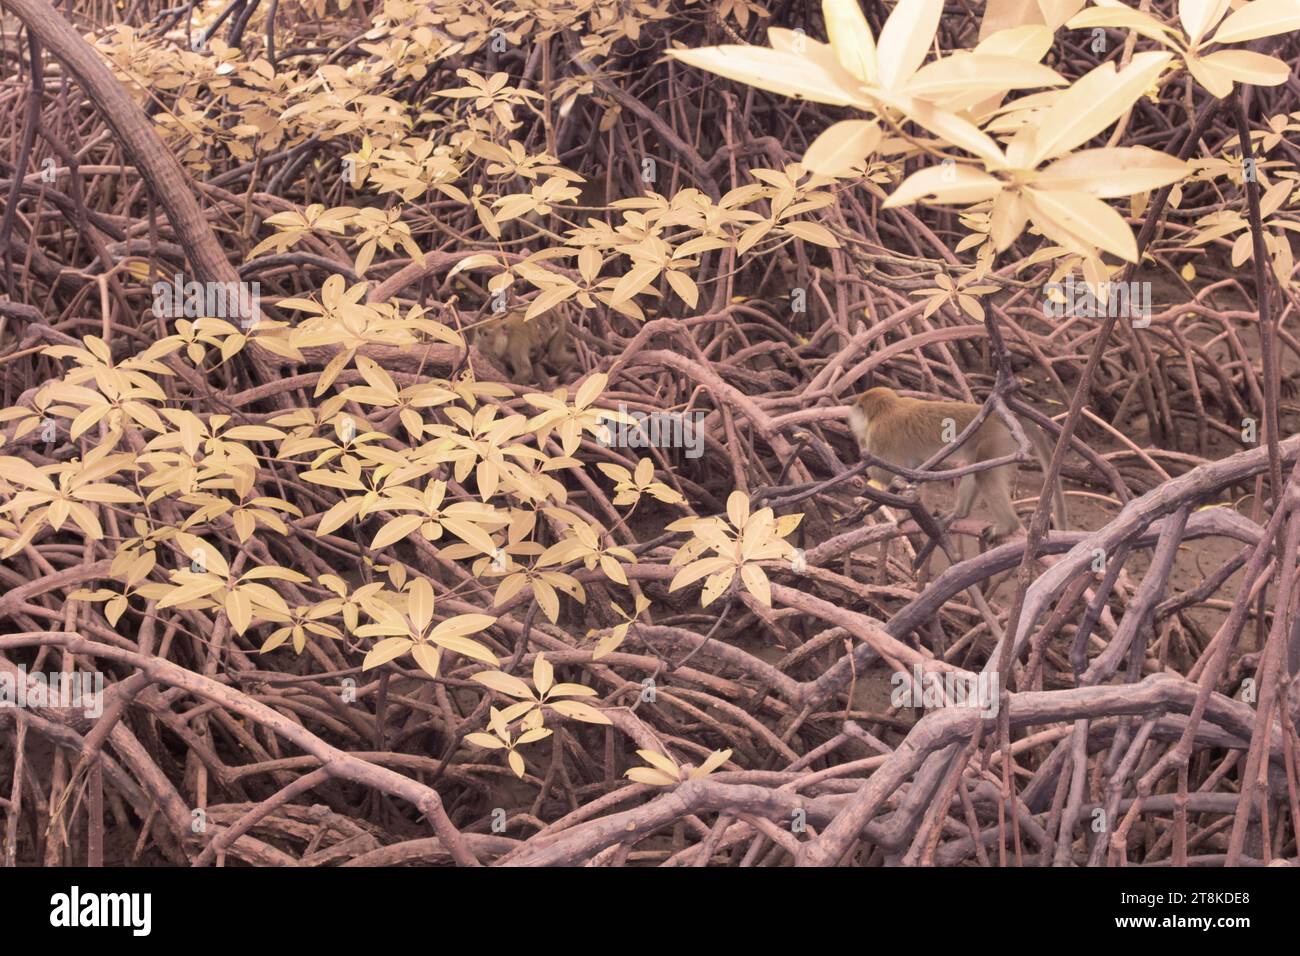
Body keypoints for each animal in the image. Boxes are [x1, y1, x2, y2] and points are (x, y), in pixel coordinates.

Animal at [847, 386, 1068, 543]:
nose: (851, 418)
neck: (888, 408)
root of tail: (997, 415)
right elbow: (916, 469)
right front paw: (909, 510)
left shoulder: (878, 432)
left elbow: (880, 472)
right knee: (975, 466)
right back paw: (960, 513)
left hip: (995, 439)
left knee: (984, 475)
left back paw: (1008, 526)